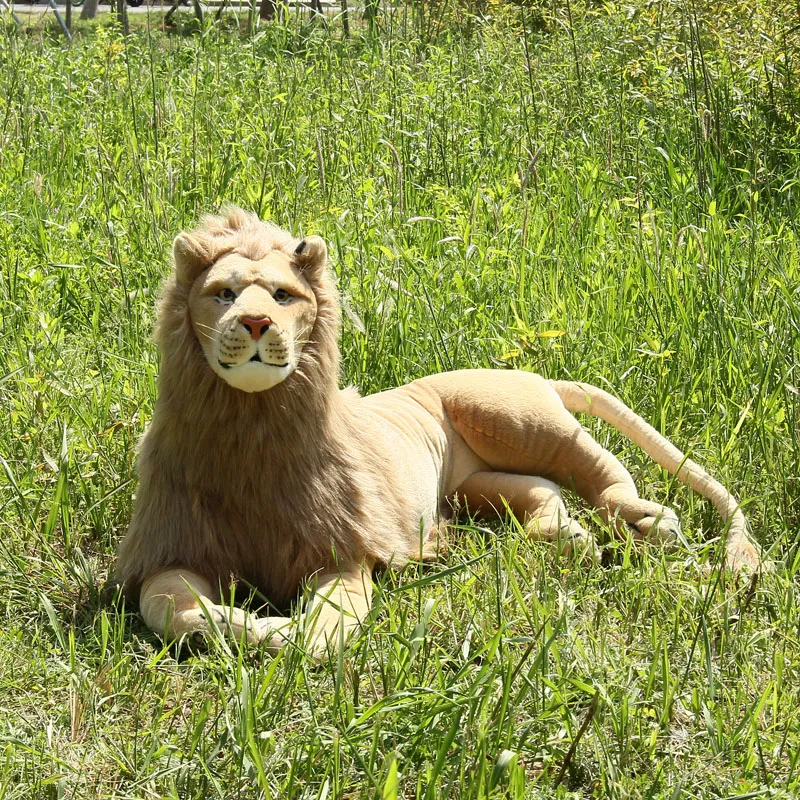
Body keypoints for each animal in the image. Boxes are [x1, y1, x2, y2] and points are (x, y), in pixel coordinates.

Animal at [115, 207, 765, 657]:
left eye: (281, 295)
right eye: (222, 293)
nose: (254, 322)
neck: (249, 433)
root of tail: (531, 371)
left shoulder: (344, 553)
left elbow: (332, 620)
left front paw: (296, 636)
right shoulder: (169, 550)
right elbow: (173, 611)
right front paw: (247, 628)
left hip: (517, 419)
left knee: (604, 471)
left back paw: (644, 521)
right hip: (471, 488)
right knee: (543, 491)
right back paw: (562, 535)